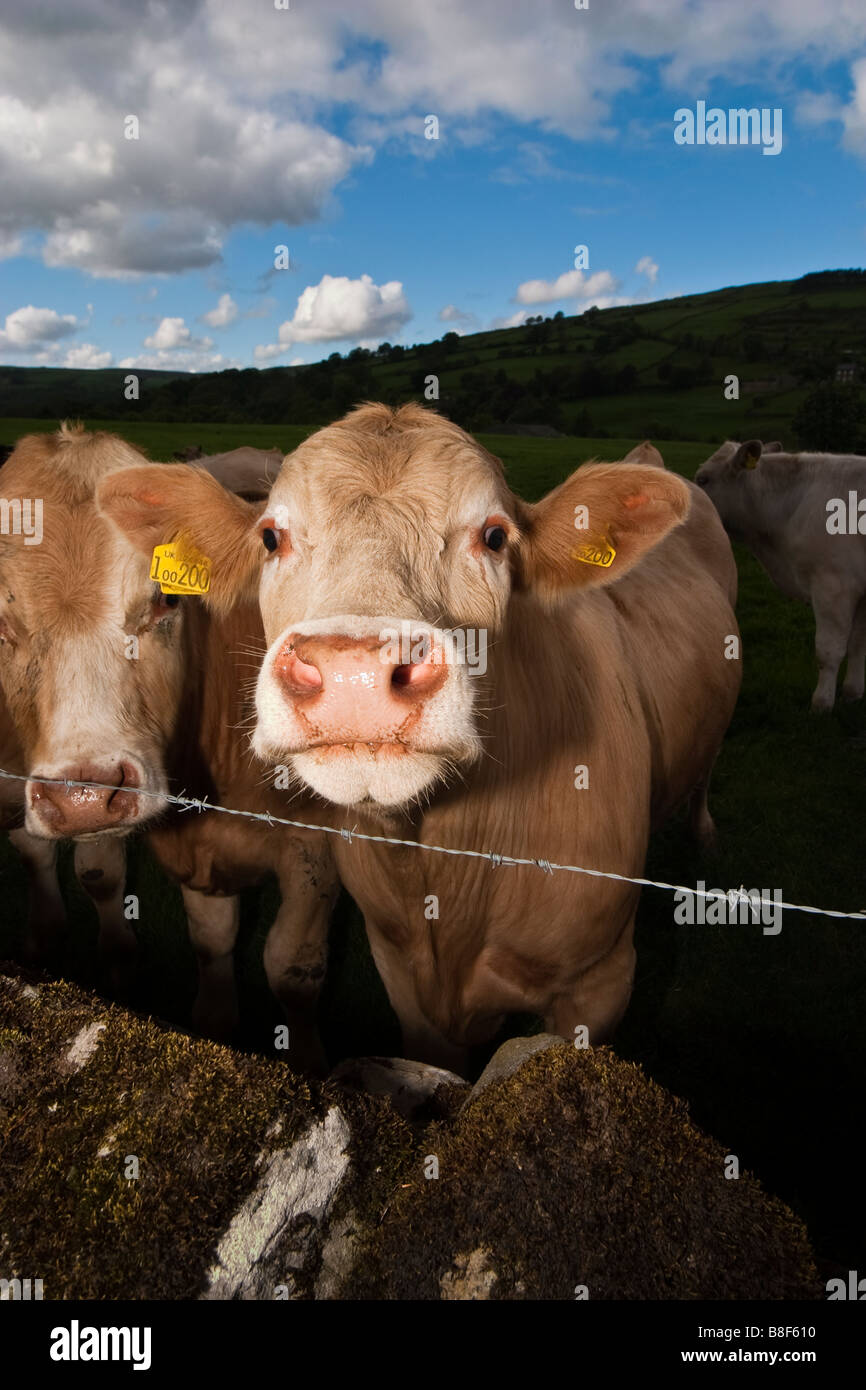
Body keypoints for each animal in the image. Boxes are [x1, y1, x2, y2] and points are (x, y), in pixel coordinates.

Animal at [0, 424, 337, 1066]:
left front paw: (309, 1065)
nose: (82, 796)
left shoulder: (317, 845)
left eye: (166, 599)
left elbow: (293, 968)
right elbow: (204, 937)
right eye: (1, 621)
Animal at [97, 403, 741, 1075]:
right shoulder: (401, 968)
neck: (444, 863)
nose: (354, 675)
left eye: (494, 536)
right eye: (272, 538)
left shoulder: (601, 981)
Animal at [695, 439, 866, 710]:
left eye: (703, 479)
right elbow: (858, 644)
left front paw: (821, 703)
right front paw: (852, 692)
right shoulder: (860, 591)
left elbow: (829, 650)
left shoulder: (833, 586)